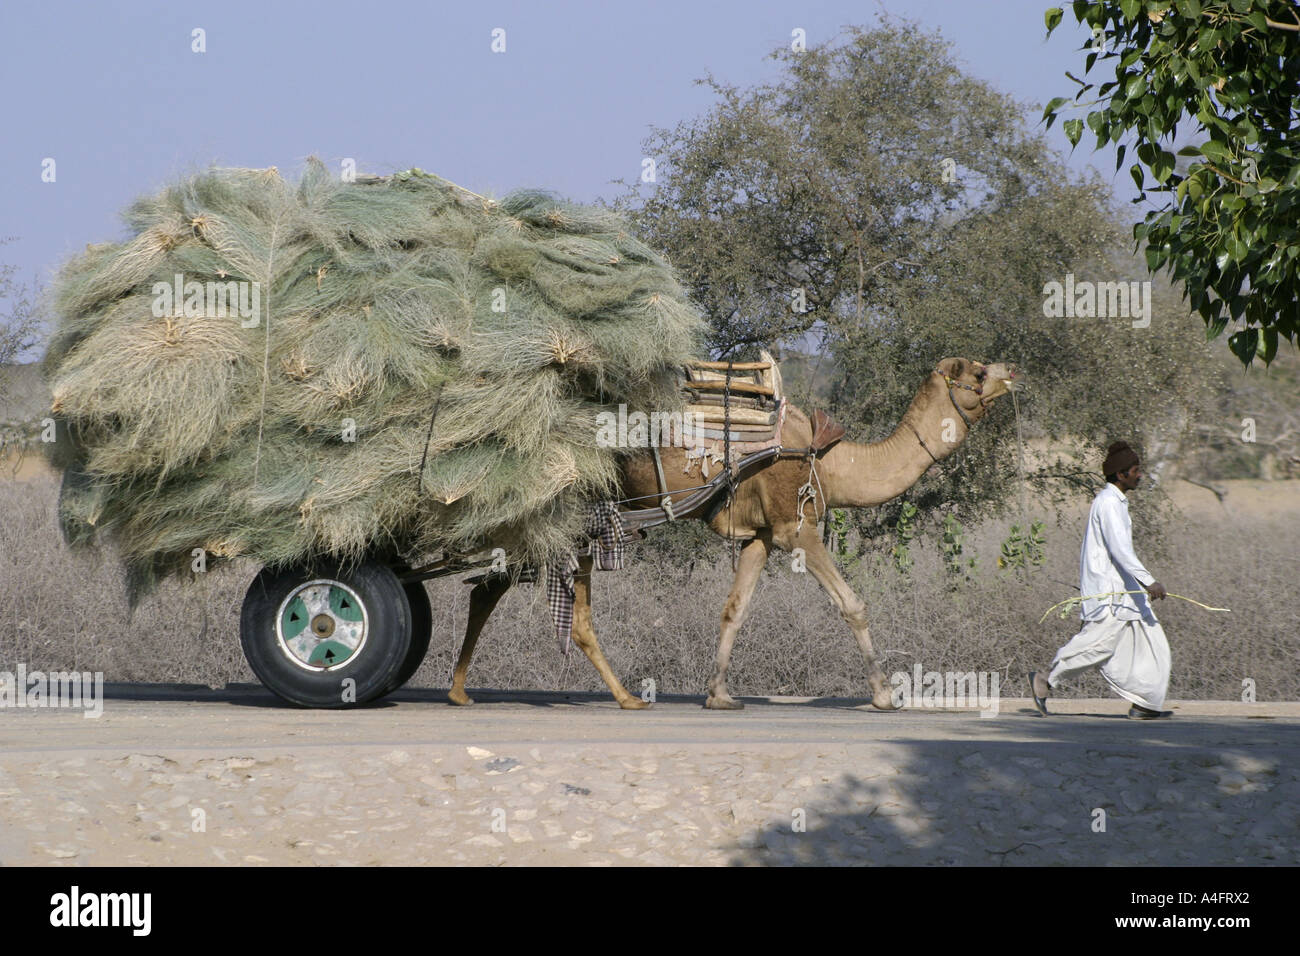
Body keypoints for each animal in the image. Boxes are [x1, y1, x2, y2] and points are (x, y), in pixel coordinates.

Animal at [446, 357, 1020, 711]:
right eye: (976, 371)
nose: (1012, 370)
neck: (830, 462)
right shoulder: (796, 526)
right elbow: (852, 604)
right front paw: (883, 695)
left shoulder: (759, 535)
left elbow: (735, 609)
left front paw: (719, 694)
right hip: (574, 519)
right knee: (538, 601)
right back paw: (618, 697)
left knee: (493, 587)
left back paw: (462, 691)